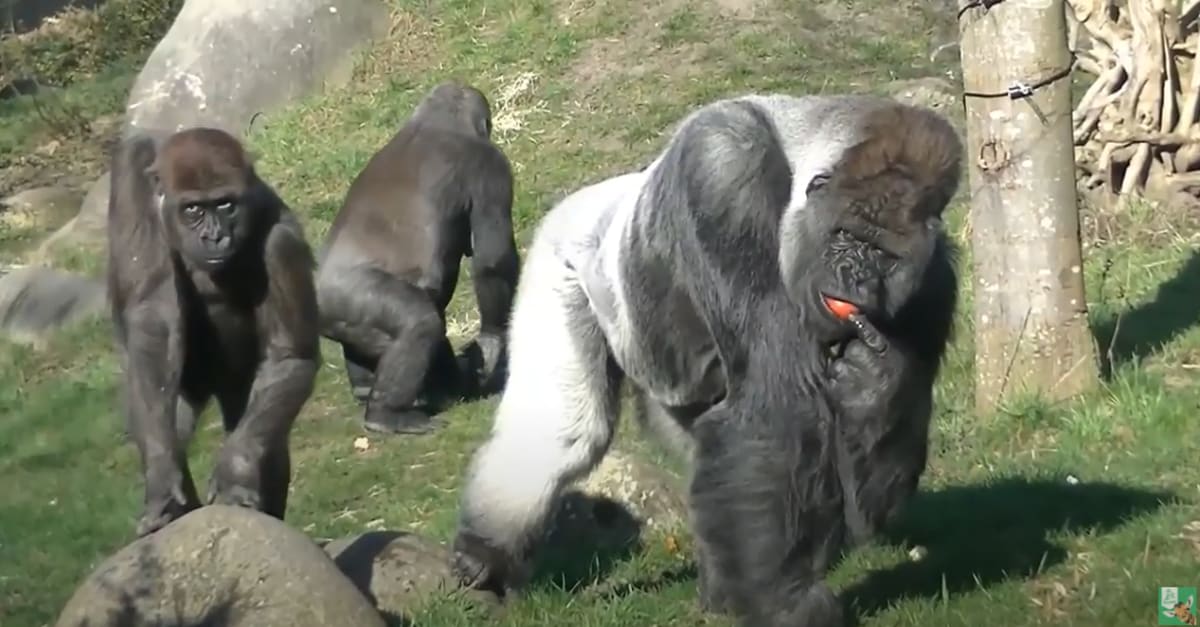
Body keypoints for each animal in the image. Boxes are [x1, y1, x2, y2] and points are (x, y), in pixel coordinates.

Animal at [106, 126, 320, 537]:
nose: (215, 237)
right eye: (193, 209)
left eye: (225, 205)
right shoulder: (133, 171)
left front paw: (236, 470)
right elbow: (153, 319)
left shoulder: (281, 240)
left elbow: (289, 358)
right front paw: (162, 475)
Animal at [315, 81, 520, 435]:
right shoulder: (490, 167)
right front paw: (493, 341)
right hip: (351, 294)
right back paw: (388, 414)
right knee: (420, 323)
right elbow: (492, 261)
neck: (433, 123)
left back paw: (369, 391)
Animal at [448, 93, 962, 627]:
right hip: (561, 251)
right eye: (845, 237)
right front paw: (787, 603)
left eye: (884, 256)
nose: (856, 277)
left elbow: (865, 511)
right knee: (564, 433)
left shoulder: (934, 277)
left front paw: (873, 384)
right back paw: (483, 555)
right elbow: (775, 407)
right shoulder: (722, 175)